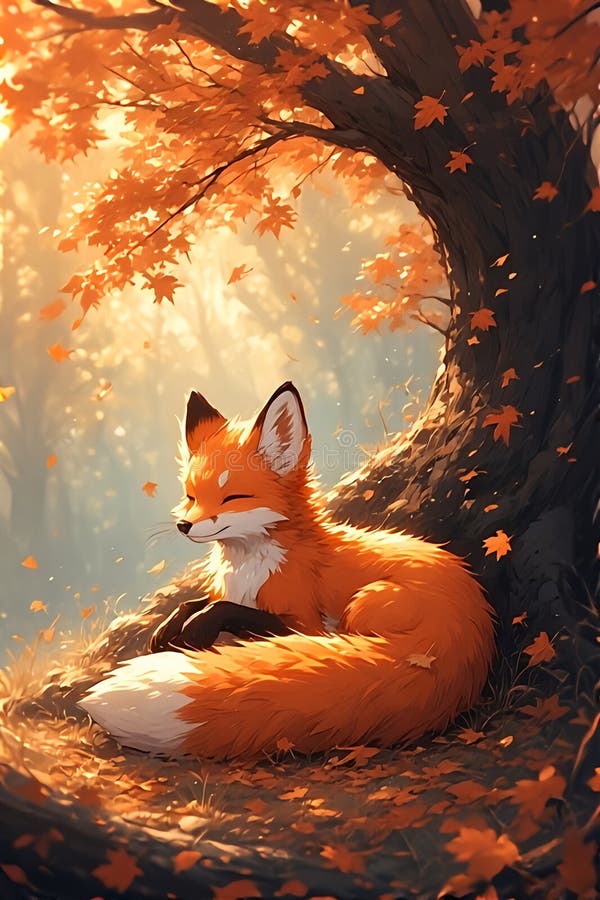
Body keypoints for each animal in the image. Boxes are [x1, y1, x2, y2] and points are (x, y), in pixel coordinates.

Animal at [79, 382, 495, 759]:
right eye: (191, 495)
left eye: (233, 497)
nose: (184, 525)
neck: (247, 568)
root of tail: (471, 632)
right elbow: (195, 603)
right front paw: (168, 627)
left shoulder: (304, 623)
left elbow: (226, 609)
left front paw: (195, 630)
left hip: (366, 603)